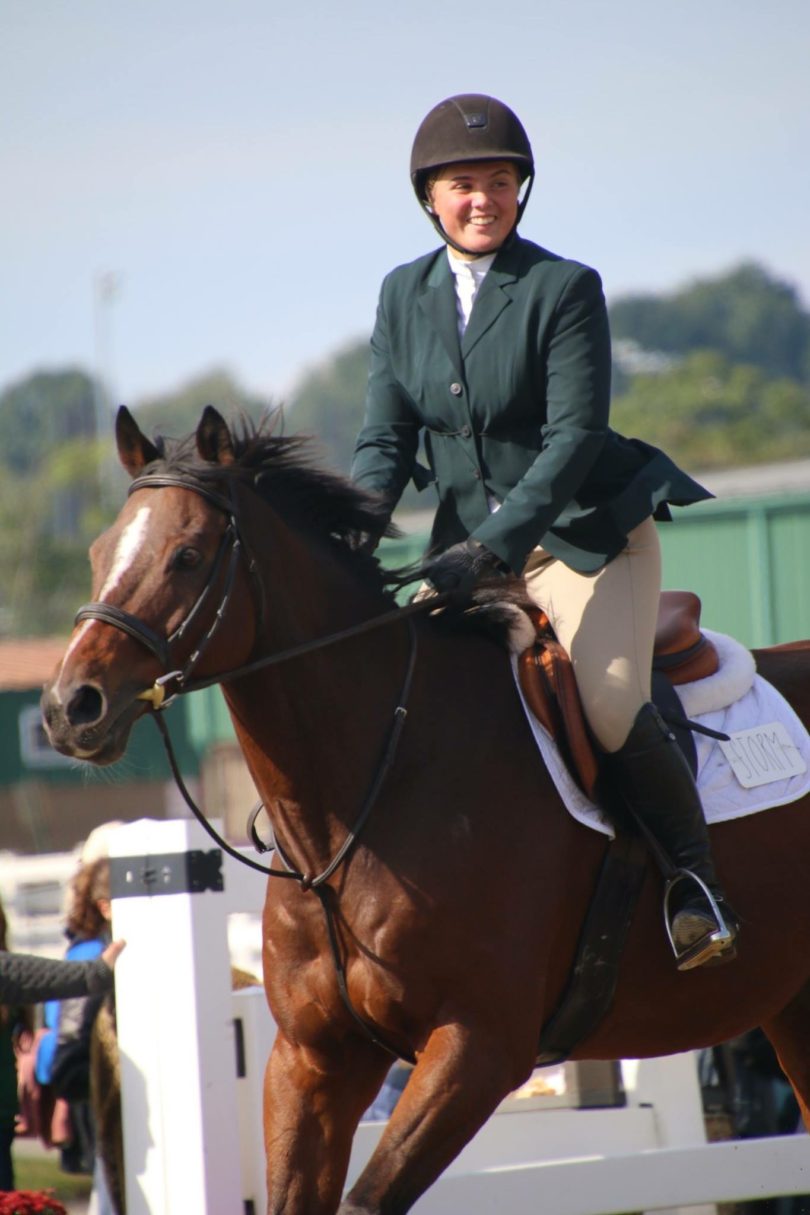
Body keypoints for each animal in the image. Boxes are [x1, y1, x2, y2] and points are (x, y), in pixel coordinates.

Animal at [41, 405, 810, 1215]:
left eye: (187, 555)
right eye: (98, 552)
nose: (70, 709)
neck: (359, 808)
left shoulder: (477, 1048)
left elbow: (366, 1199)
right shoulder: (313, 1058)